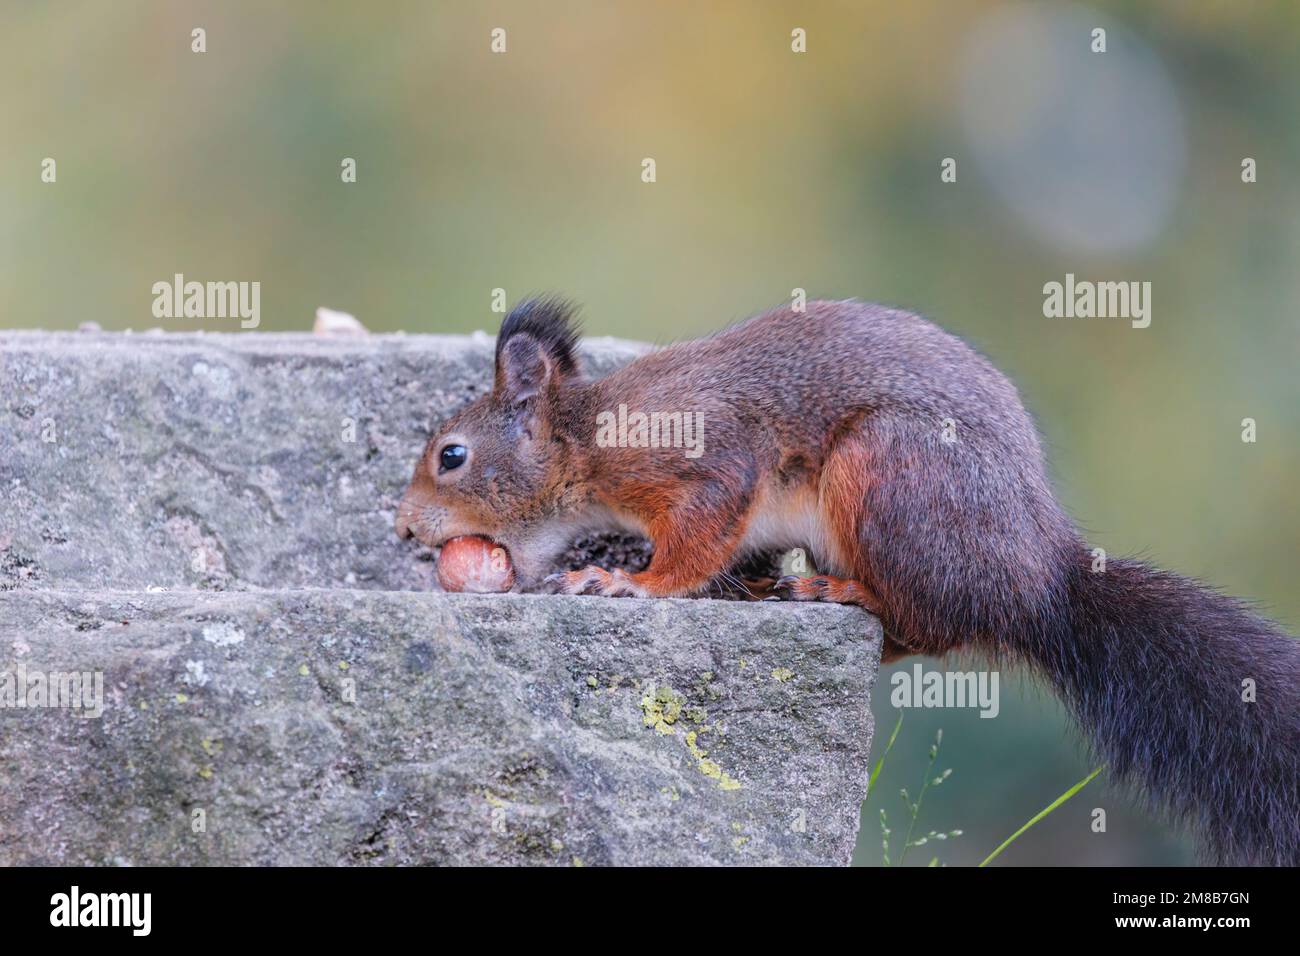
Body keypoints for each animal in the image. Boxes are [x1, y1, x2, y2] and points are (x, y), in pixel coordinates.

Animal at [396, 296, 1300, 866]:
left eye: (451, 456)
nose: (402, 529)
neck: (584, 440)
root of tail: (1039, 578)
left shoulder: (703, 460)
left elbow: (701, 533)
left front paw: (635, 585)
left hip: (887, 474)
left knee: (935, 622)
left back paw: (837, 595)